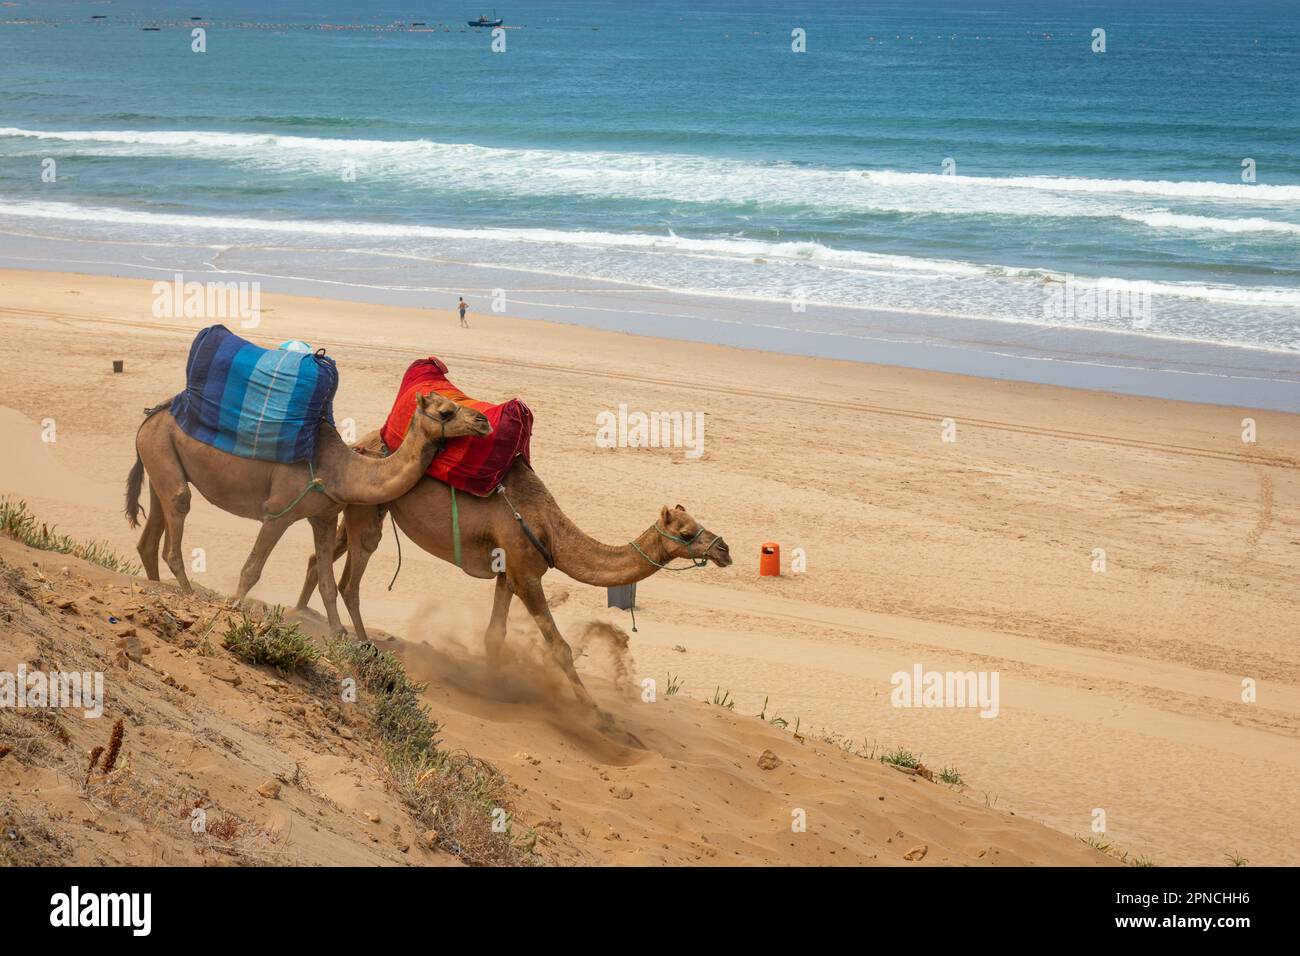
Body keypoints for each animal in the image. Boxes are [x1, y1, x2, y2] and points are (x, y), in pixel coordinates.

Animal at [124, 396, 491, 633]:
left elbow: (327, 583)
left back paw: (157, 585)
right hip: (162, 450)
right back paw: (187, 592)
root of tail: (149, 418)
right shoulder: (278, 512)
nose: (483, 421)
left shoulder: (324, 518)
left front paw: (339, 633)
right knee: (177, 512)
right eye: (446, 411)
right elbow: (252, 569)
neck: (341, 469)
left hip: (161, 460)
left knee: (150, 536)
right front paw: (234, 607)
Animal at [295, 433, 732, 714]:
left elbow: (495, 635)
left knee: (322, 556)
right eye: (687, 533)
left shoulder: (507, 574)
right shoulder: (526, 575)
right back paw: (360, 643)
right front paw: (599, 715)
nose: (724, 549)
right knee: (351, 577)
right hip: (368, 508)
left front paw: (495, 688)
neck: (552, 531)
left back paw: (301, 613)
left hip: (362, 505)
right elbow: (560, 646)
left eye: (699, 524)